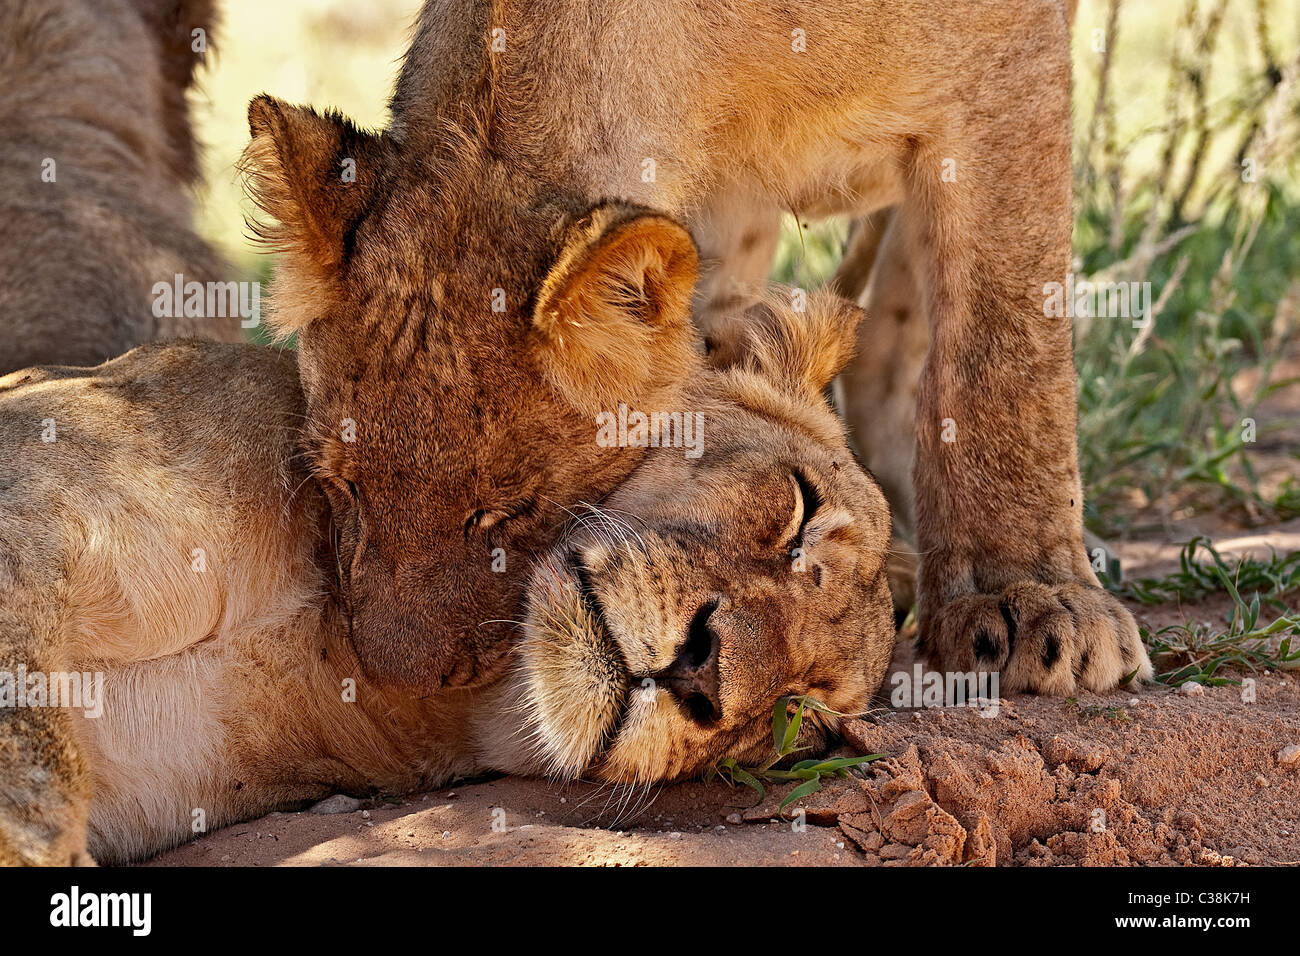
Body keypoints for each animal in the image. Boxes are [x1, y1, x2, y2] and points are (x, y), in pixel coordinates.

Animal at [239, 0, 1150, 698]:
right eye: (340, 487)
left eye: (511, 510)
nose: (399, 681)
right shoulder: (714, 195)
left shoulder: (1006, 68)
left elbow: (1004, 350)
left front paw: (1030, 598)